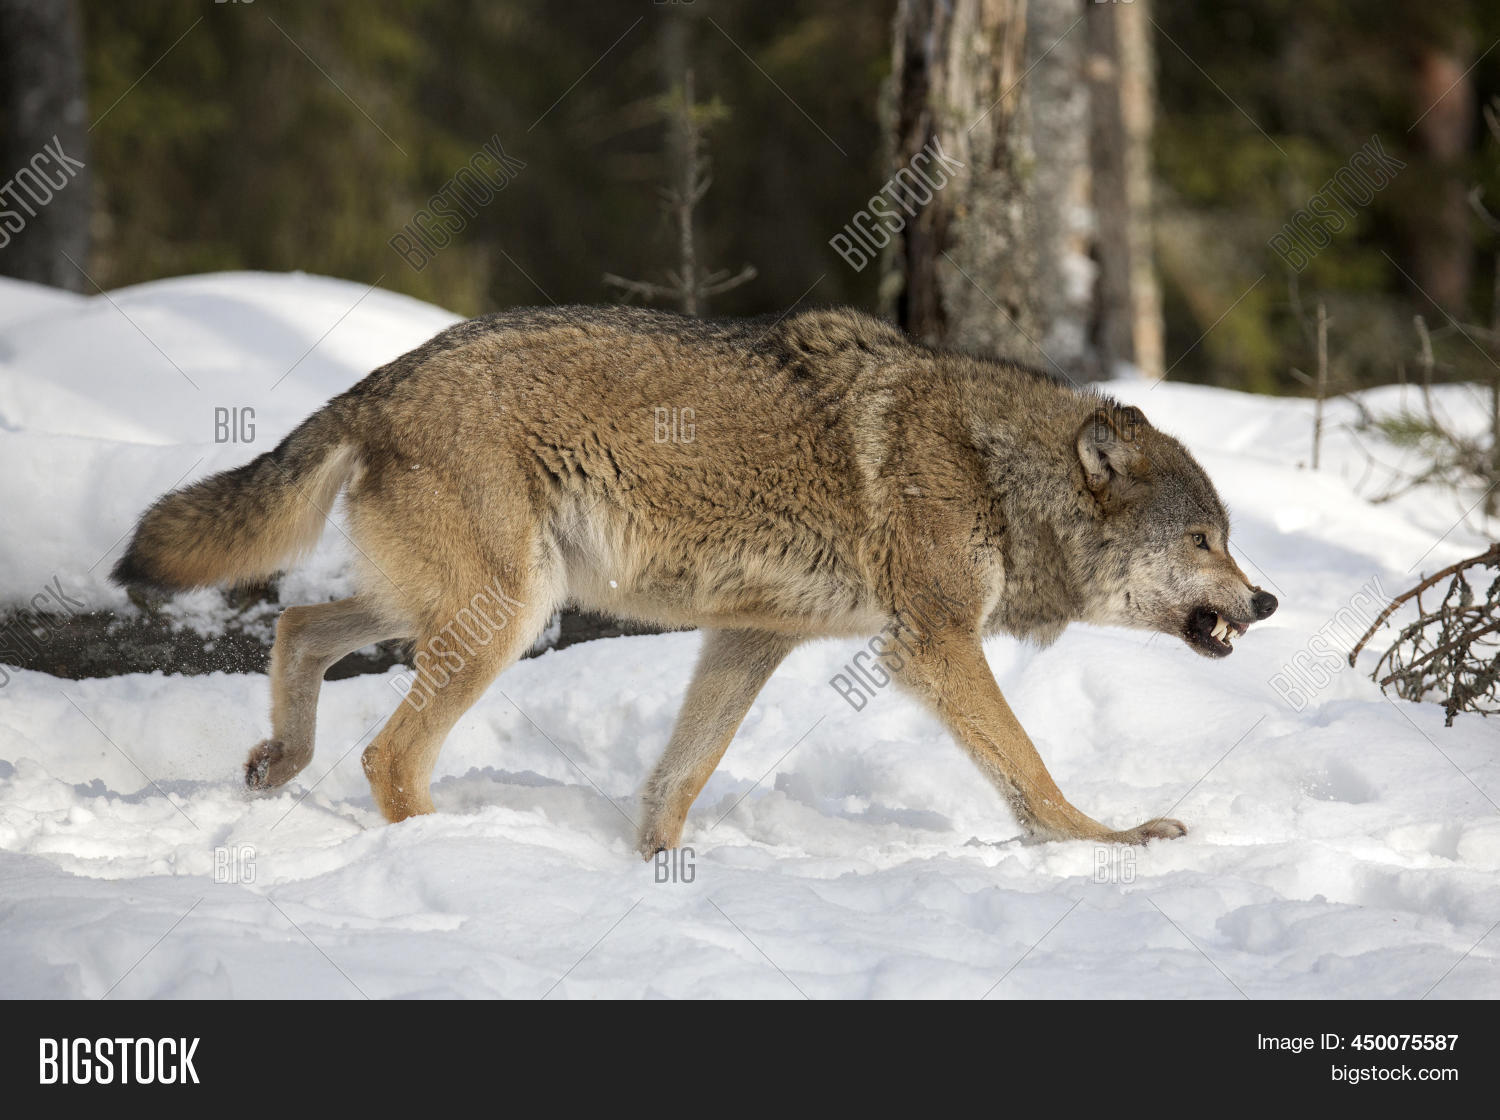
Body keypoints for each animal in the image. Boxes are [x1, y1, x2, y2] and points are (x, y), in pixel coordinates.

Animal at [111, 305, 1276, 854]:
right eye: (1204, 538)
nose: (1267, 601)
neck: (997, 471)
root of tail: (384, 376)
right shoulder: (933, 643)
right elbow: (1031, 772)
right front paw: (1108, 841)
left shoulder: (750, 637)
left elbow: (678, 775)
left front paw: (658, 867)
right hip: (508, 616)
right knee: (387, 752)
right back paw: (461, 854)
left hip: (467, 604)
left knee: (298, 624)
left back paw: (276, 761)